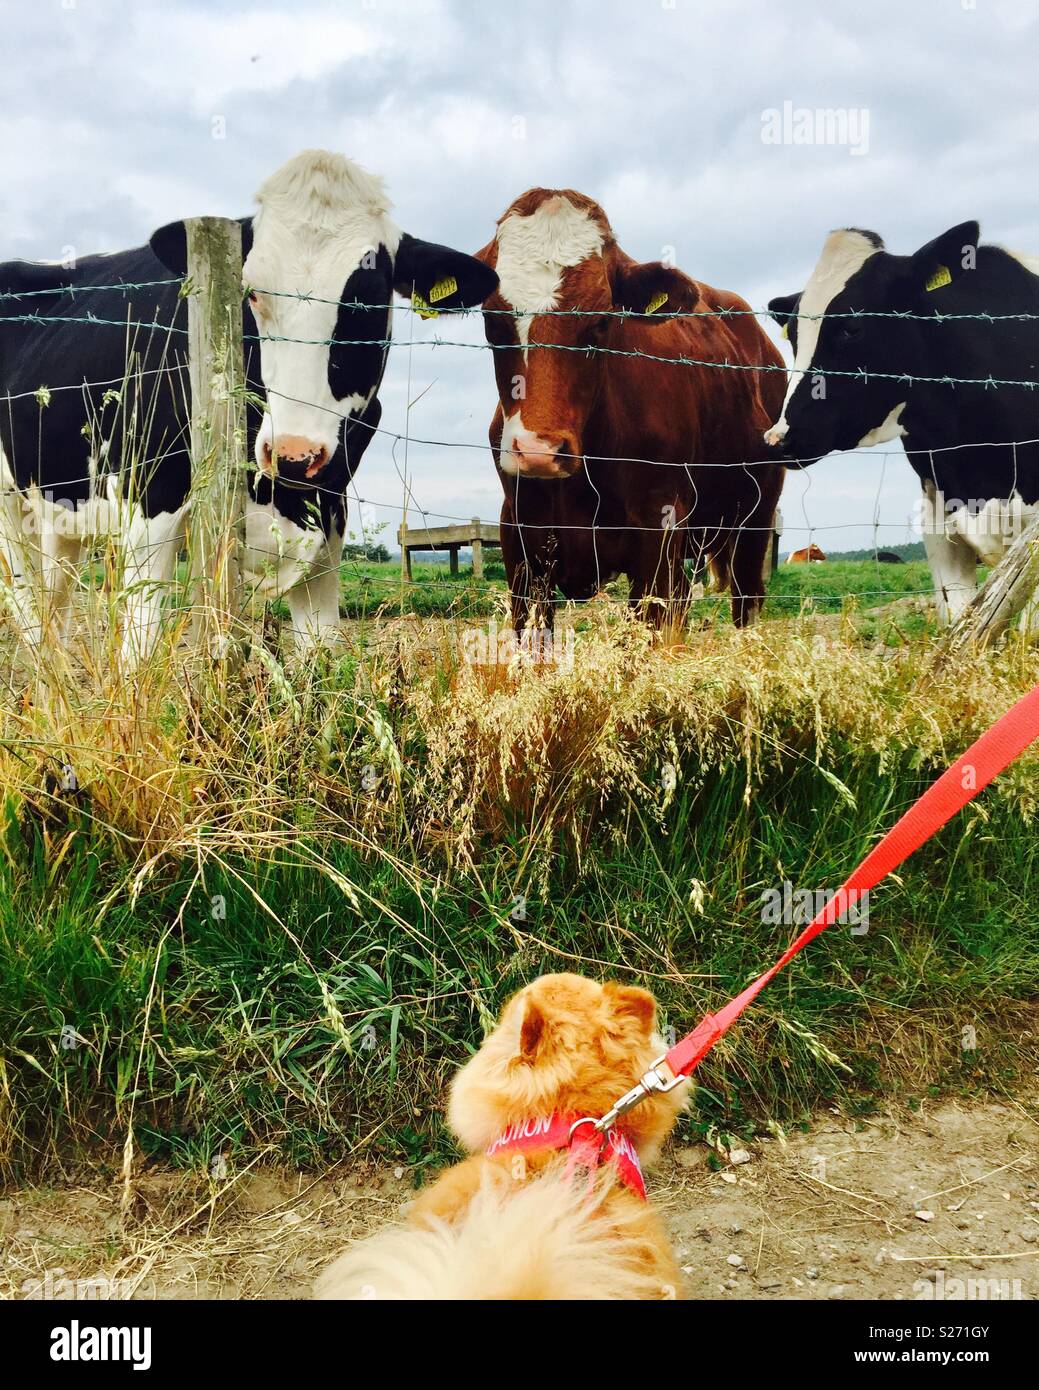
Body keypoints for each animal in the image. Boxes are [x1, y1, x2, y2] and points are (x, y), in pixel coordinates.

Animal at [0, 149, 497, 666]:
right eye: (250, 291)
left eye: (369, 299)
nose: (294, 455)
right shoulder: (151, 507)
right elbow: (141, 647)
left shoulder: (326, 519)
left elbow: (319, 650)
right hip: (11, 508)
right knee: (27, 604)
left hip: (61, 504)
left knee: (55, 603)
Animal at [473, 189, 785, 633]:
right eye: (491, 320)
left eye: (601, 322)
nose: (538, 453)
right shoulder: (520, 543)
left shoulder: (659, 534)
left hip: (756, 516)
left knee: (746, 600)